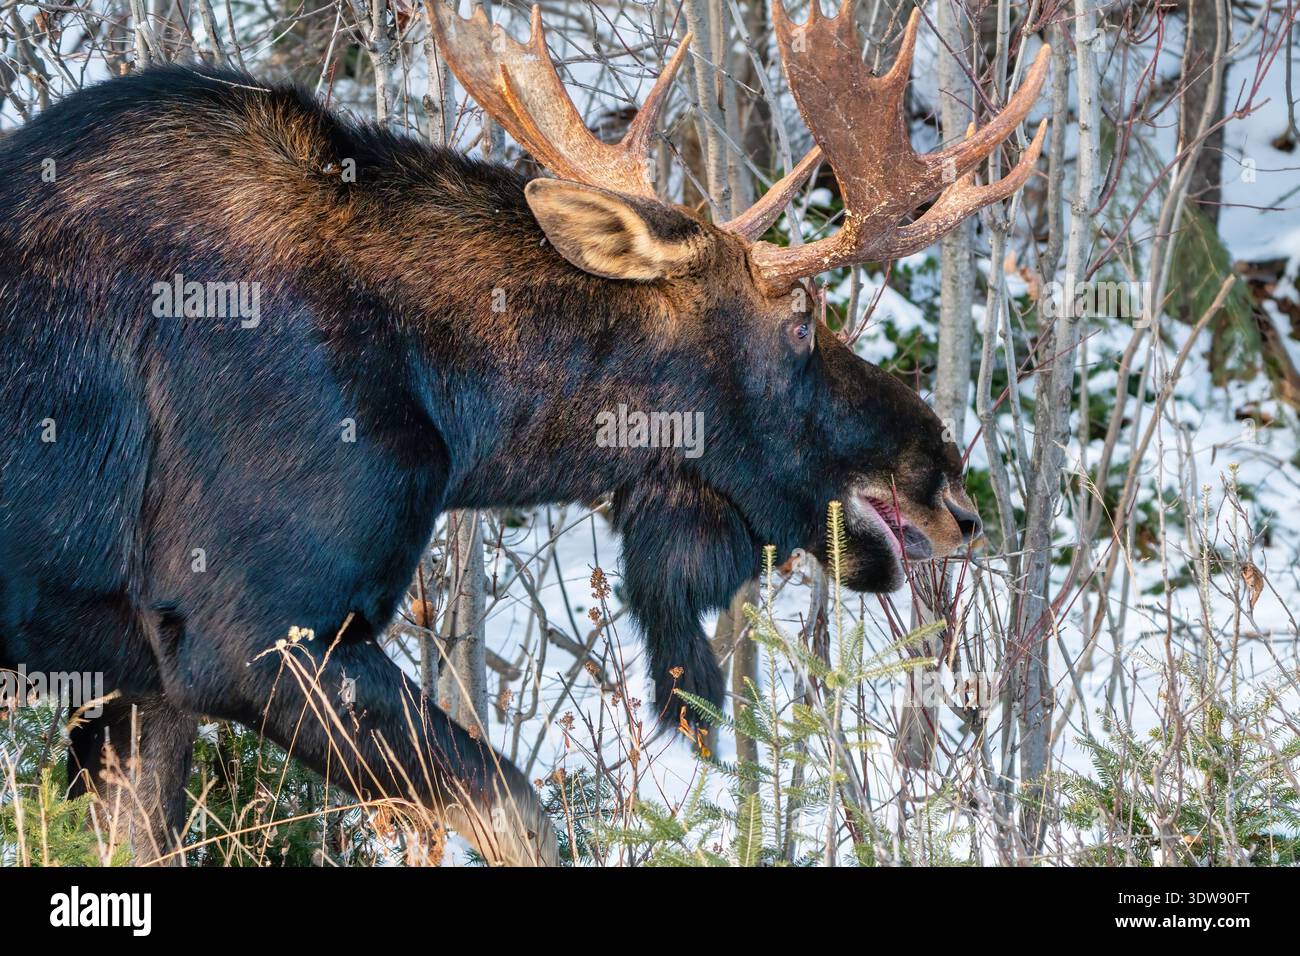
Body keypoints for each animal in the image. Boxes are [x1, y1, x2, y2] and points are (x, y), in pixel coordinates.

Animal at [0, 0, 1047, 865]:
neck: (455, 415)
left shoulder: (140, 678)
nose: (950, 491)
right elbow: (521, 813)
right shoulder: (249, 631)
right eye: (800, 319)